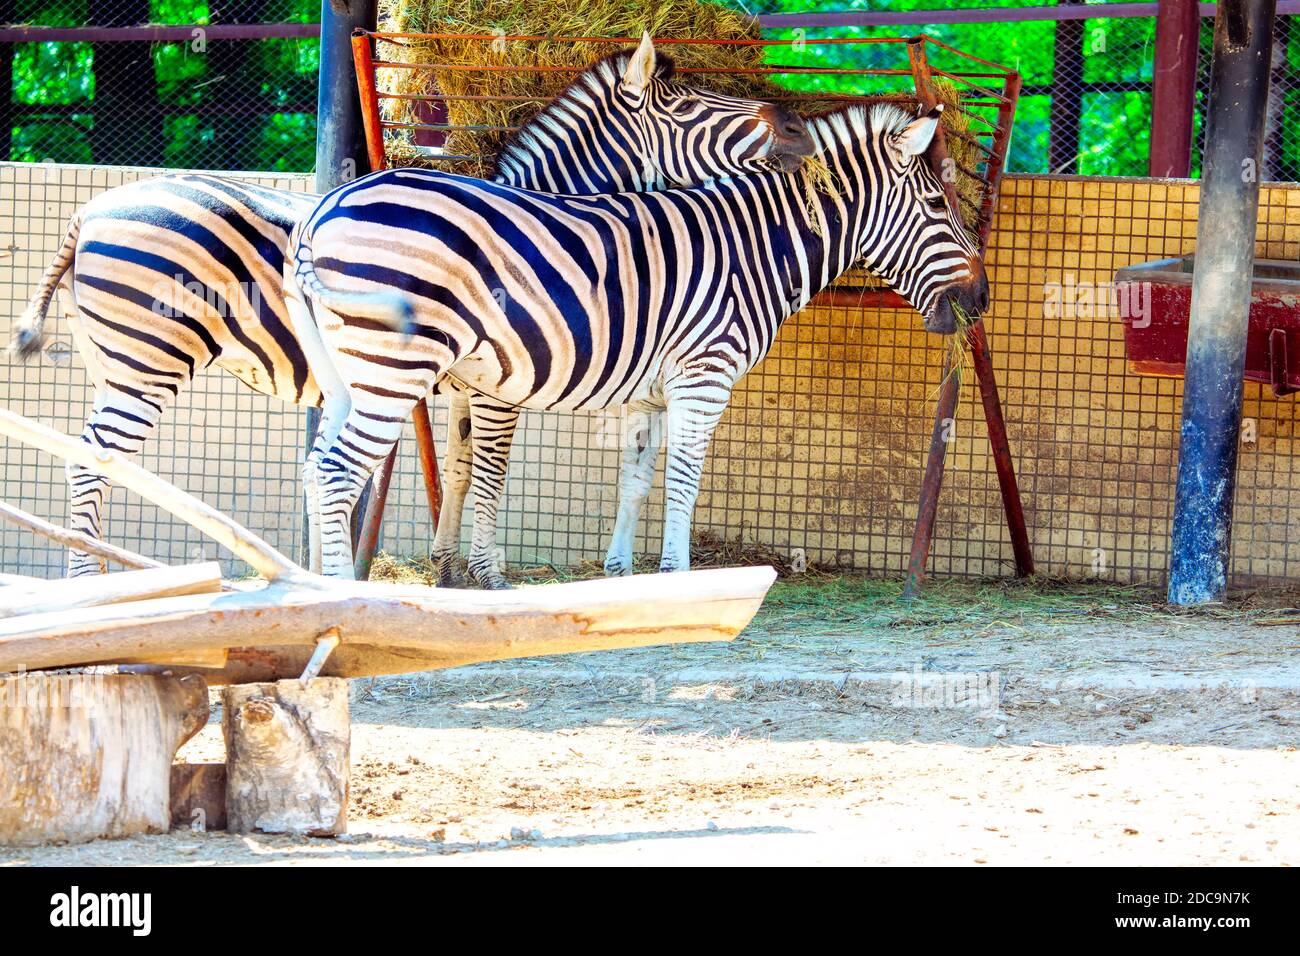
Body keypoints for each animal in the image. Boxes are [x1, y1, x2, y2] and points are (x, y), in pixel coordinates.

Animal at [8, 34, 812, 580]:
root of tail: (89, 210)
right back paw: (86, 581)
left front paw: (446, 563)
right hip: (148, 363)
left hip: (121, 365)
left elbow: (455, 466)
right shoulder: (491, 382)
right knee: (92, 464)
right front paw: (482, 571)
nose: (789, 122)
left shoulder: (460, 382)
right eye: (690, 106)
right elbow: (486, 467)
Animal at [287, 101, 989, 581]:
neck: (752, 249)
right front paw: (676, 573)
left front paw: (621, 572)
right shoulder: (704, 375)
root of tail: (324, 208)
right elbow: (684, 476)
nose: (982, 300)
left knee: (315, 469)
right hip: (395, 368)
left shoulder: (646, 391)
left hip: (349, 376)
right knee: (337, 473)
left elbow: (636, 480)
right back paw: (340, 594)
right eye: (936, 205)